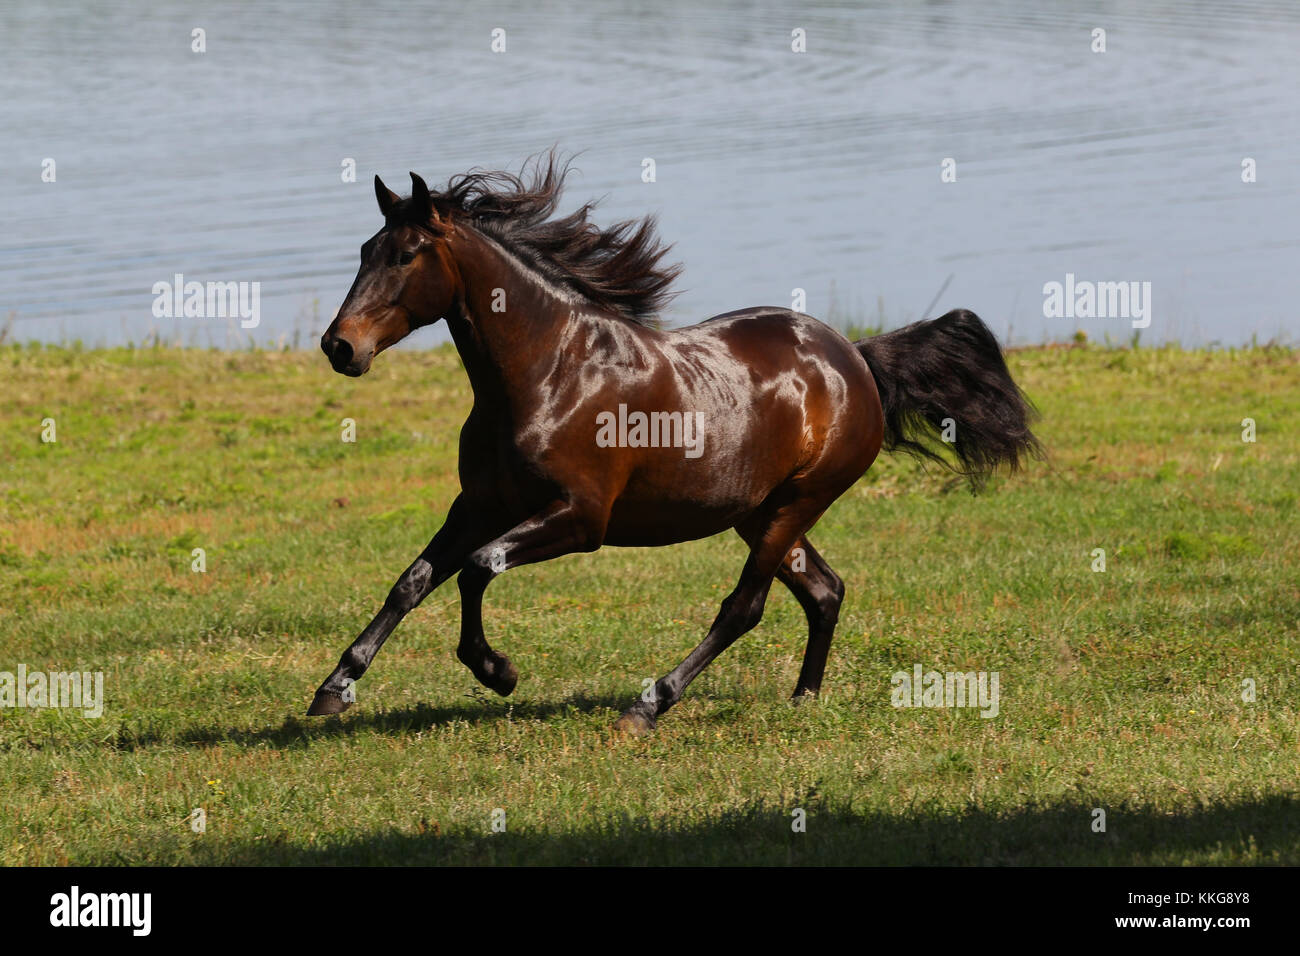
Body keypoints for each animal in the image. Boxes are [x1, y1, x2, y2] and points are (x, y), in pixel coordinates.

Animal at [309, 152, 1040, 734]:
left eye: (406, 255)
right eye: (365, 251)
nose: (339, 346)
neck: (548, 373)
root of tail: (855, 359)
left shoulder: (580, 518)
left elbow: (477, 568)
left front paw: (498, 671)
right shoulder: (481, 503)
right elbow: (413, 580)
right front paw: (333, 690)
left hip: (800, 501)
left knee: (745, 607)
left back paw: (648, 707)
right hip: (760, 511)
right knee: (824, 590)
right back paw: (804, 697)